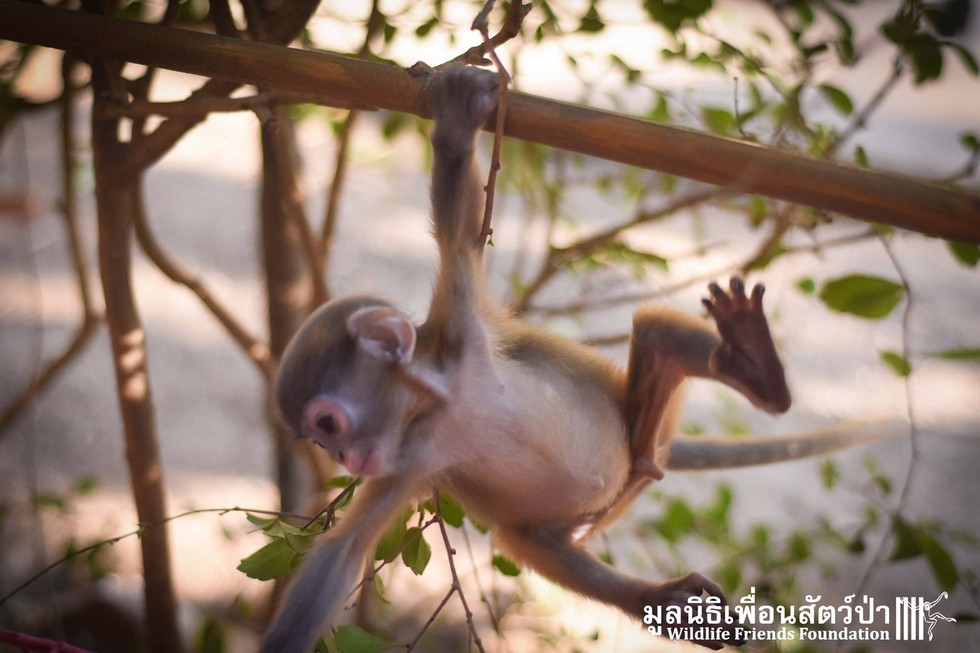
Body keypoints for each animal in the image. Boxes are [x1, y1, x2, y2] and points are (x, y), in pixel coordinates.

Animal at [261, 65, 883, 652]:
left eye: (327, 425)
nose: (344, 459)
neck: (446, 404)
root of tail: (644, 457)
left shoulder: (461, 324)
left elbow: (456, 223)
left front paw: (456, 123)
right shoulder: (408, 459)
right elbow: (343, 552)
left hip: (639, 433)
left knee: (656, 333)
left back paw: (752, 367)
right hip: (602, 493)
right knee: (537, 541)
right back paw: (662, 601)